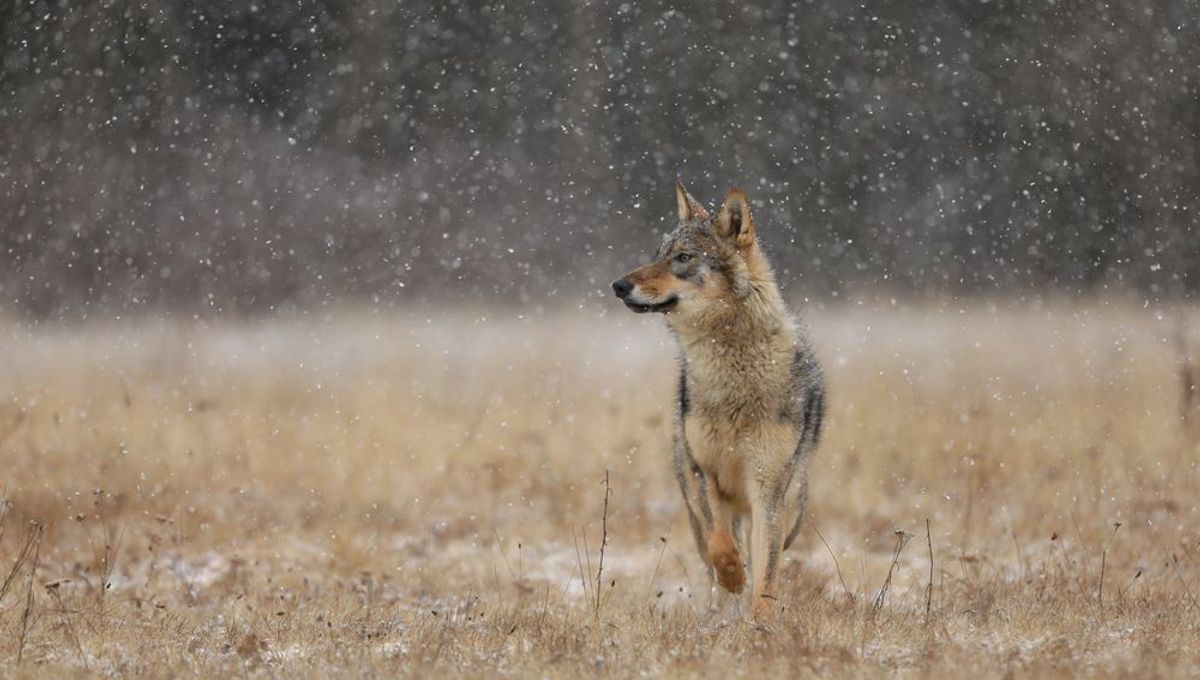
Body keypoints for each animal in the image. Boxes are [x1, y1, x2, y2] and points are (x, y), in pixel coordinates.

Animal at [612, 182, 825, 620]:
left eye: (683, 258)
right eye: (657, 253)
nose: (618, 285)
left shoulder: (767, 488)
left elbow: (767, 573)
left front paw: (761, 621)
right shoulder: (703, 471)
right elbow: (721, 546)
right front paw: (732, 578)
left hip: (792, 507)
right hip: (692, 501)